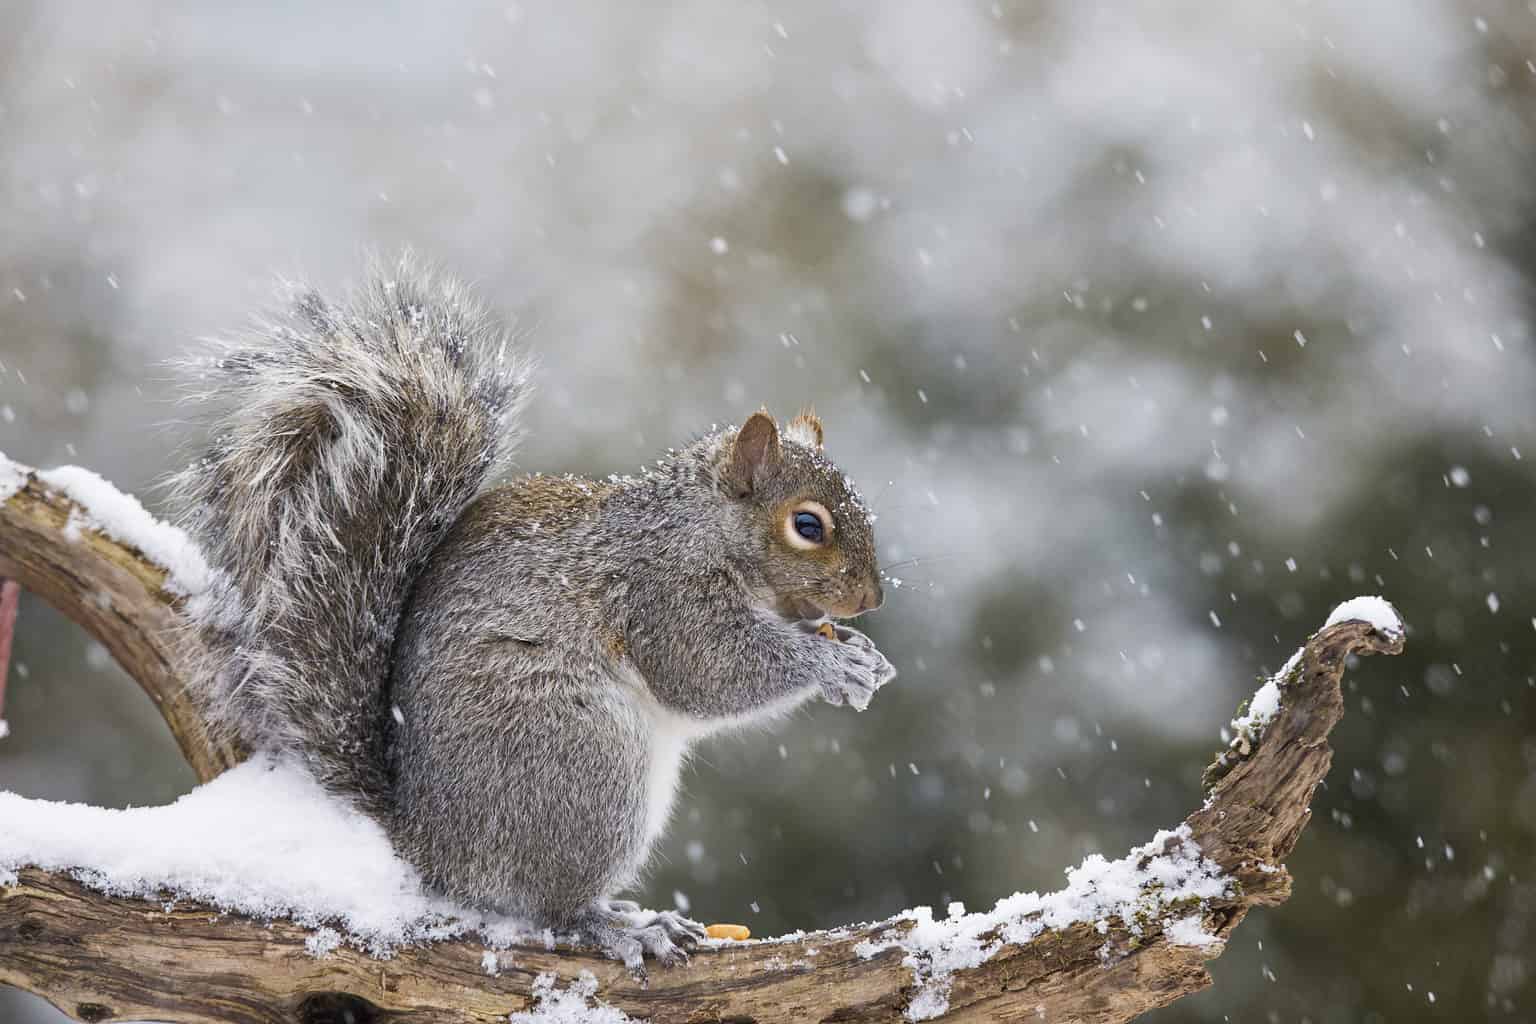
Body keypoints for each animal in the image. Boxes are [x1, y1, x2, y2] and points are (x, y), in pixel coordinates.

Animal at [173, 256, 897, 968]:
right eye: (808, 525)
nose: (872, 599)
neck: (699, 529)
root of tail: (429, 846)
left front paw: (860, 652)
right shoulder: (660, 595)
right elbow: (709, 672)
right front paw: (830, 663)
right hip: (584, 762)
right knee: (551, 906)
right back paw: (623, 927)